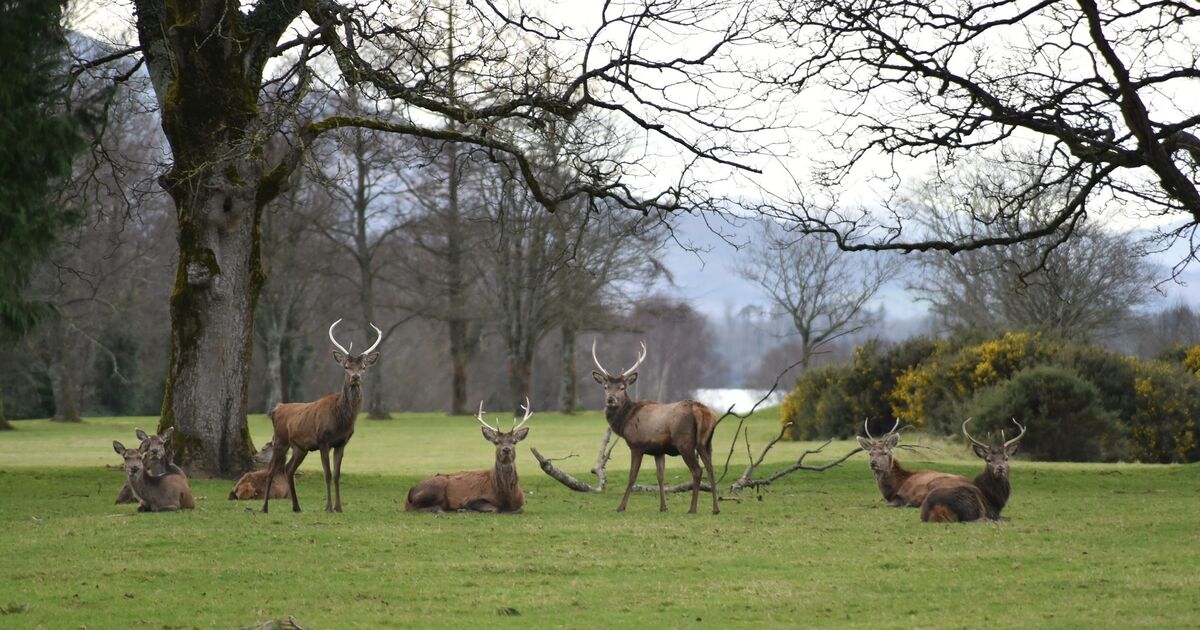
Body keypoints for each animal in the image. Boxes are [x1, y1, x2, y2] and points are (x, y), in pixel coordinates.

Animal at [262, 319, 381, 513]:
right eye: (346, 366)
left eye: (363, 367)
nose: (355, 377)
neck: (341, 420)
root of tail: (277, 409)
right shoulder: (323, 440)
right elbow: (328, 474)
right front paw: (329, 507)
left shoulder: (341, 443)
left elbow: (337, 475)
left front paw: (339, 507)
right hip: (280, 440)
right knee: (271, 470)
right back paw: (264, 508)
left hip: (300, 447)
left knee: (288, 469)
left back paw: (297, 507)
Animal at [404, 399, 532, 513]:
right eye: (496, 442)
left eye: (514, 441)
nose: (506, 449)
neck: (507, 498)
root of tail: (411, 491)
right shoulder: (472, 498)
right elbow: (495, 508)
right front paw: (464, 509)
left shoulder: (521, 502)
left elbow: (520, 509)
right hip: (436, 487)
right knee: (415, 507)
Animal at [591, 339, 720, 514]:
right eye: (605, 387)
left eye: (622, 387)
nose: (611, 399)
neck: (626, 421)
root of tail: (702, 411)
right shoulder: (658, 450)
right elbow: (660, 476)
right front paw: (663, 507)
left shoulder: (637, 445)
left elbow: (632, 476)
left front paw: (621, 506)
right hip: (707, 443)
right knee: (711, 469)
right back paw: (716, 508)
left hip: (685, 442)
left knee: (697, 470)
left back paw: (692, 508)